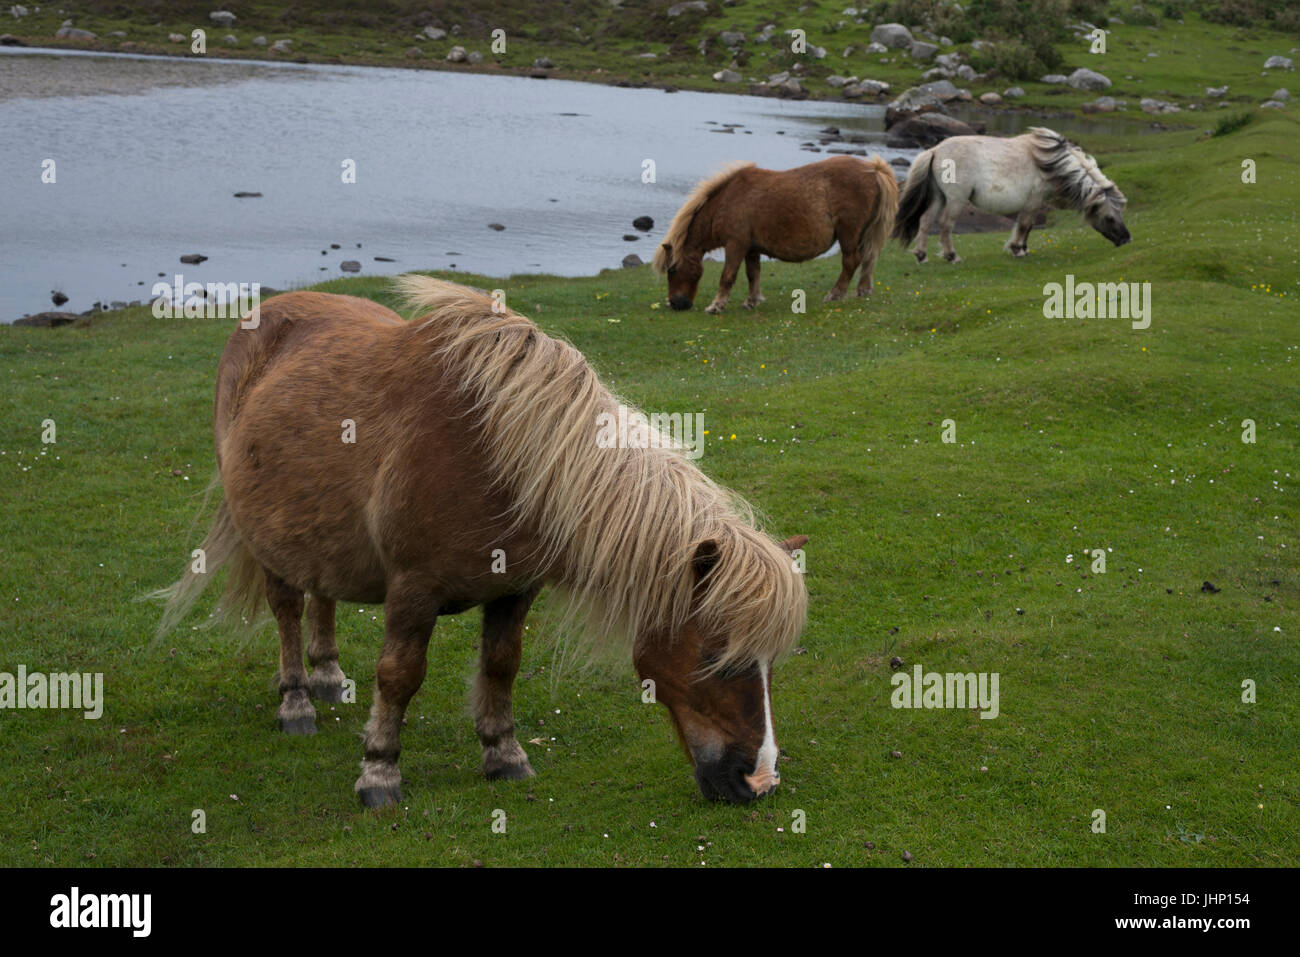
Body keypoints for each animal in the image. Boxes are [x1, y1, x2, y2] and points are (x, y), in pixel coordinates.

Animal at [153, 278, 808, 808]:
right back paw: (297, 701)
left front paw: (504, 755)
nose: (760, 782)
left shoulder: (514, 589)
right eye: (716, 657)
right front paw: (379, 773)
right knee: (287, 607)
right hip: (265, 539)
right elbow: (400, 676)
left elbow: (500, 666)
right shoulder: (413, 591)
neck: (501, 458)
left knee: (324, 594)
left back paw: (328, 676)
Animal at [653, 154, 899, 314]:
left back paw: (835, 294)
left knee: (851, 261)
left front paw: (717, 305)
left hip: (849, 233)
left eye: (672, 270)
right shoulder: (751, 248)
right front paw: (752, 301)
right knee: (868, 259)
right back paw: (862, 289)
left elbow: (727, 276)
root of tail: (873, 170)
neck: (728, 200)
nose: (676, 304)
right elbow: (753, 274)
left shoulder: (735, 245)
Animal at [892, 126, 1130, 263]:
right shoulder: (1034, 201)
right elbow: (1024, 225)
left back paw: (921, 256)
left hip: (939, 198)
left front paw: (1023, 248)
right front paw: (1017, 250)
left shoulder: (1035, 203)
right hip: (956, 200)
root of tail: (935, 150)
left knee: (925, 221)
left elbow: (1028, 226)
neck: (1050, 162)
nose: (1126, 239)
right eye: (1110, 217)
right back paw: (952, 256)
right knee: (945, 225)